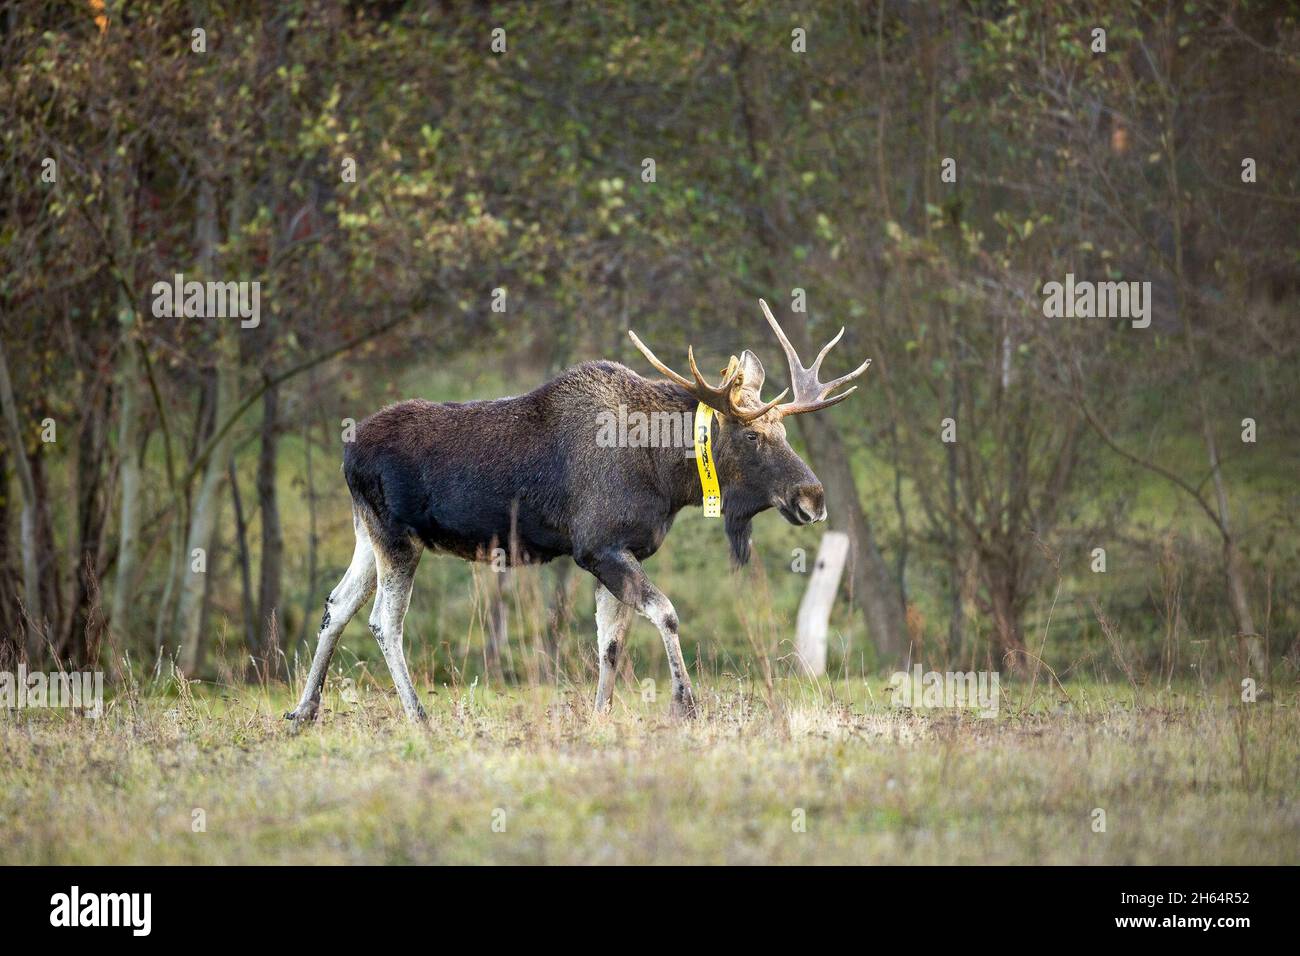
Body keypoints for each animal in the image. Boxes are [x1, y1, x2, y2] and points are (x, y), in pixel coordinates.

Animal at [286, 299, 870, 725]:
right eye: (752, 435)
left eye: (785, 432)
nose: (813, 497)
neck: (665, 472)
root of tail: (347, 451)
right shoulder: (598, 547)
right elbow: (666, 613)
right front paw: (685, 704)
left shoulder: (620, 552)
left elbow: (610, 643)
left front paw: (601, 714)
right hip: (397, 538)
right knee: (385, 621)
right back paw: (416, 714)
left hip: (368, 533)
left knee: (336, 605)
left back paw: (305, 710)